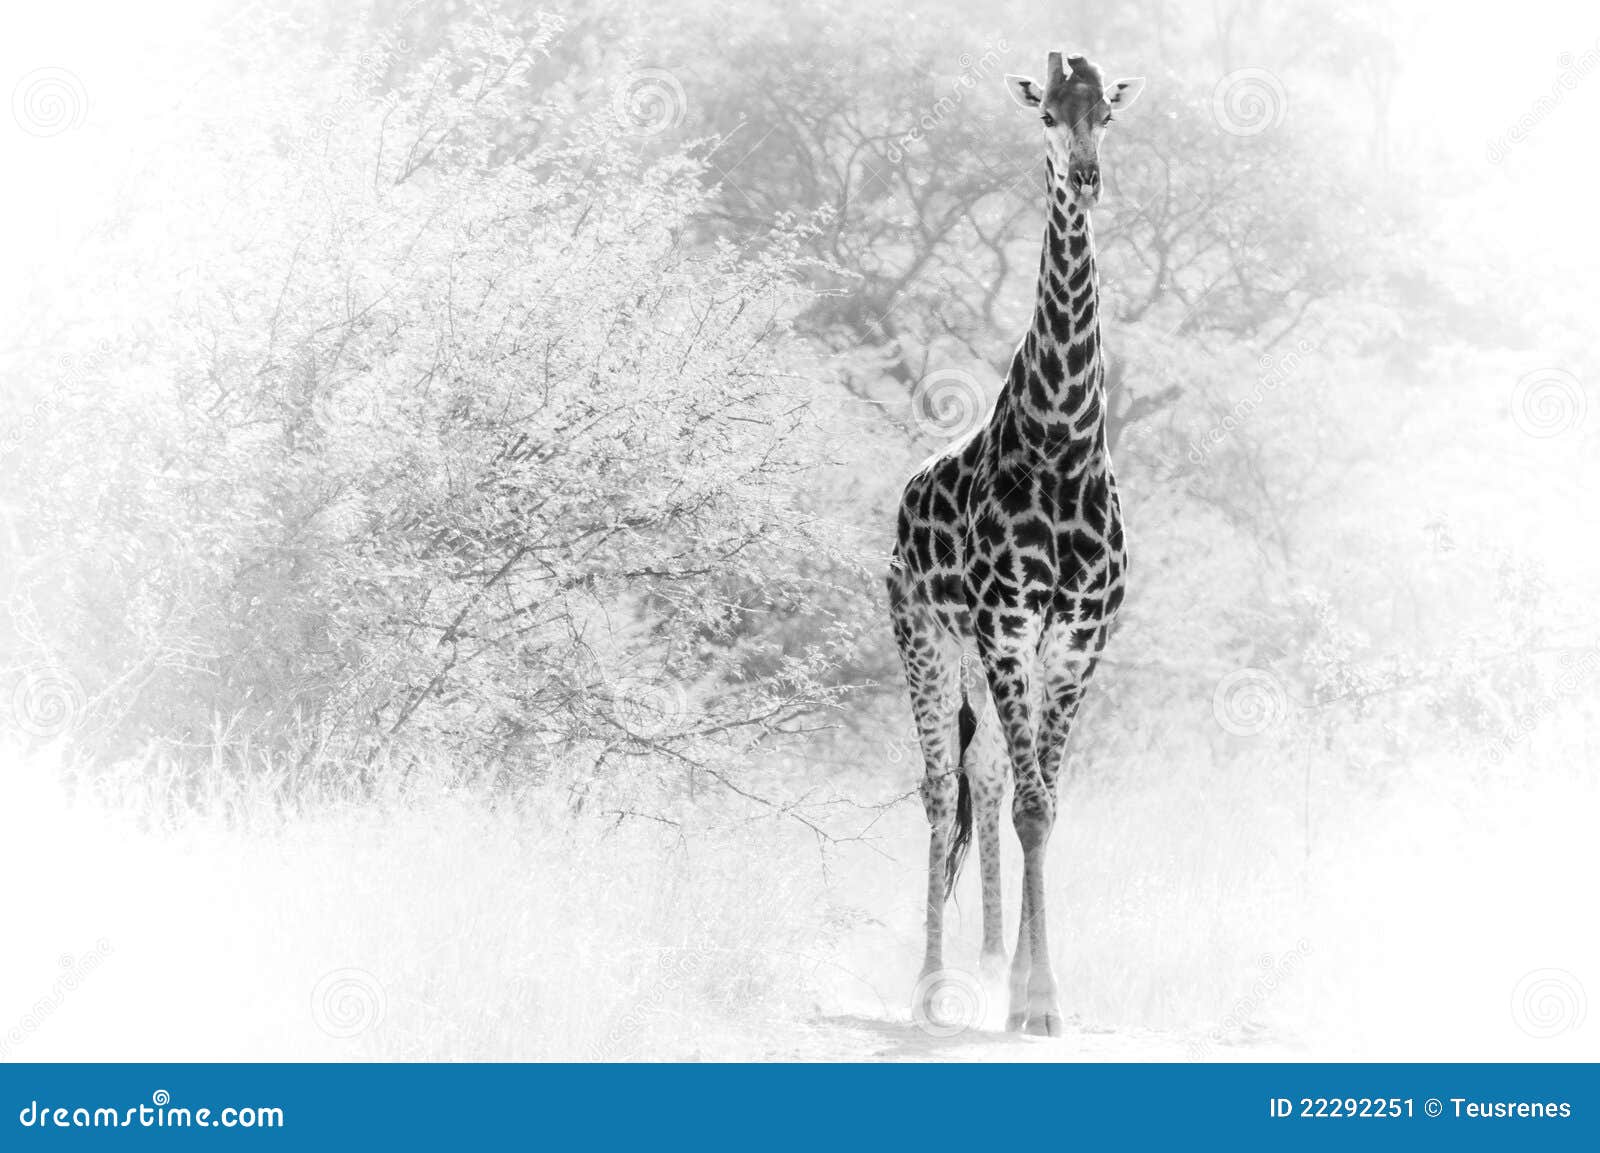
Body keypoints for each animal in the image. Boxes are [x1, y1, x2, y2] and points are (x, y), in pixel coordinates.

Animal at [886, 51, 1145, 1037]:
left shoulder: (1074, 638)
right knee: (937, 786)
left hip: (982, 653)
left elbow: (1043, 803)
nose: (1087, 180)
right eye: (1046, 118)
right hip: (925, 637)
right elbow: (1031, 801)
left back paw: (993, 966)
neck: (1066, 444)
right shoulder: (1005, 623)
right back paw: (930, 986)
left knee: (988, 777)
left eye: (1106, 116)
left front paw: (1034, 995)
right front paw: (1035, 1001)